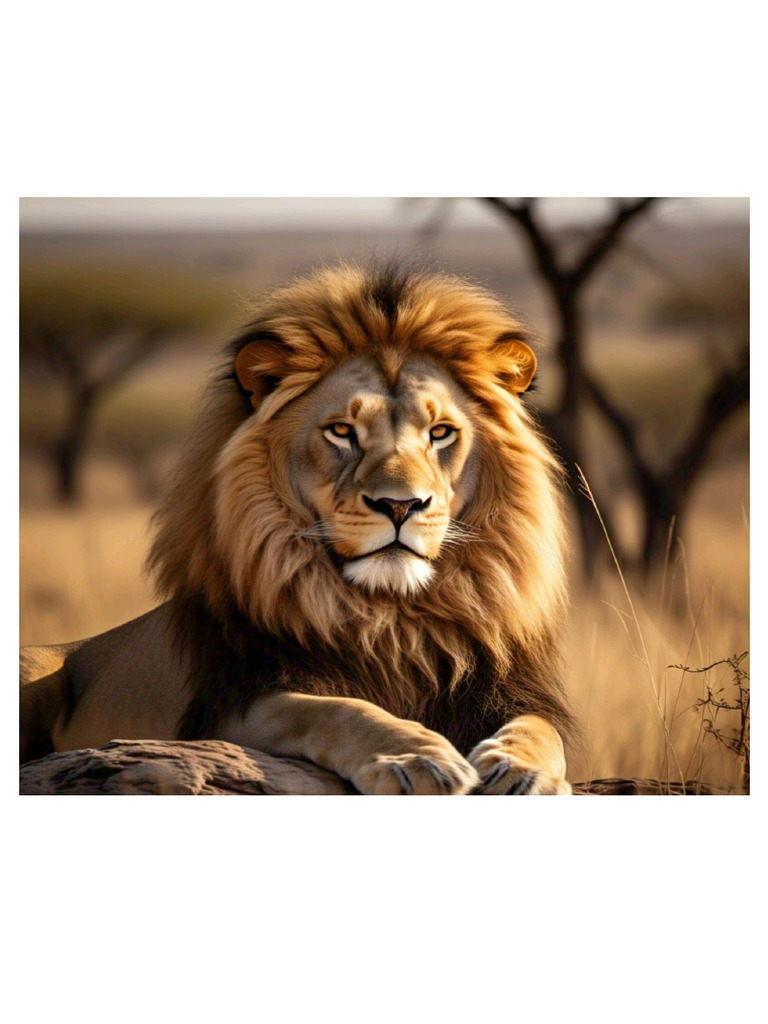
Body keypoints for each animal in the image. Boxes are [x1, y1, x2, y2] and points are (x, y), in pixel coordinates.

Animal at [20, 260, 575, 794]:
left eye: (440, 433)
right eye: (342, 432)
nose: (400, 505)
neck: (392, 619)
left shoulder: (503, 693)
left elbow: (537, 729)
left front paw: (520, 769)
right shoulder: (236, 702)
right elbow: (338, 710)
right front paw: (415, 758)